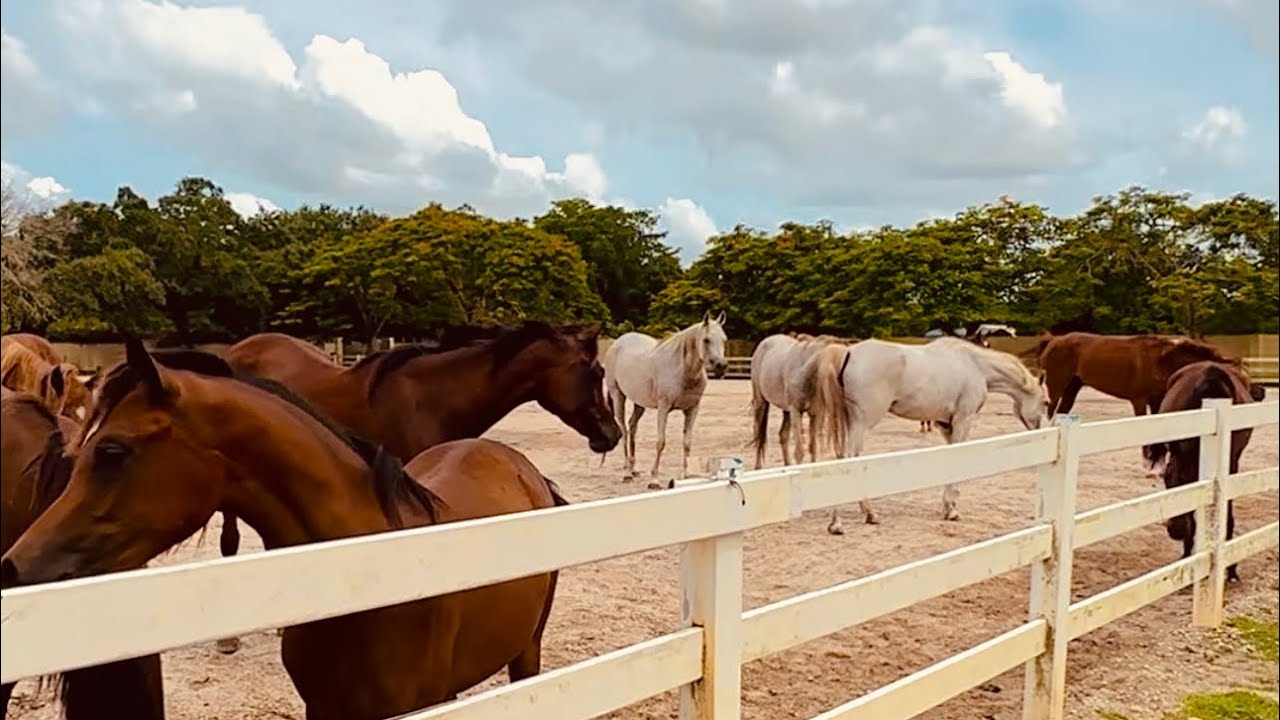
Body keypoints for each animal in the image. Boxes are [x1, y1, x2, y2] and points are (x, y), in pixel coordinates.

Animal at [602, 312, 729, 484]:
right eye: (706, 340)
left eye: (724, 339)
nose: (721, 366)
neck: (683, 371)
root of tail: (617, 343)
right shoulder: (663, 408)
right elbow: (661, 442)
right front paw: (654, 480)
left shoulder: (692, 409)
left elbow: (687, 443)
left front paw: (686, 475)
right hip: (618, 396)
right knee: (624, 430)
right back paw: (627, 472)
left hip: (639, 402)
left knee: (632, 427)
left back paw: (633, 469)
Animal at [749, 333, 846, 468]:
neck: (805, 374)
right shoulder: (796, 411)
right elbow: (799, 452)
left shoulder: (814, 414)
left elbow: (812, 447)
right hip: (761, 402)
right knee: (759, 435)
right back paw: (758, 467)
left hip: (786, 411)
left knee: (783, 435)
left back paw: (787, 465)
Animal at [813, 336, 1050, 532]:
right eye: (1046, 402)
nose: (1042, 431)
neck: (975, 365)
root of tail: (848, 353)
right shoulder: (963, 421)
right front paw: (952, 511)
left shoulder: (945, 425)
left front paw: (948, 507)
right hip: (862, 423)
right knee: (848, 461)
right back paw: (840, 522)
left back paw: (867, 515)